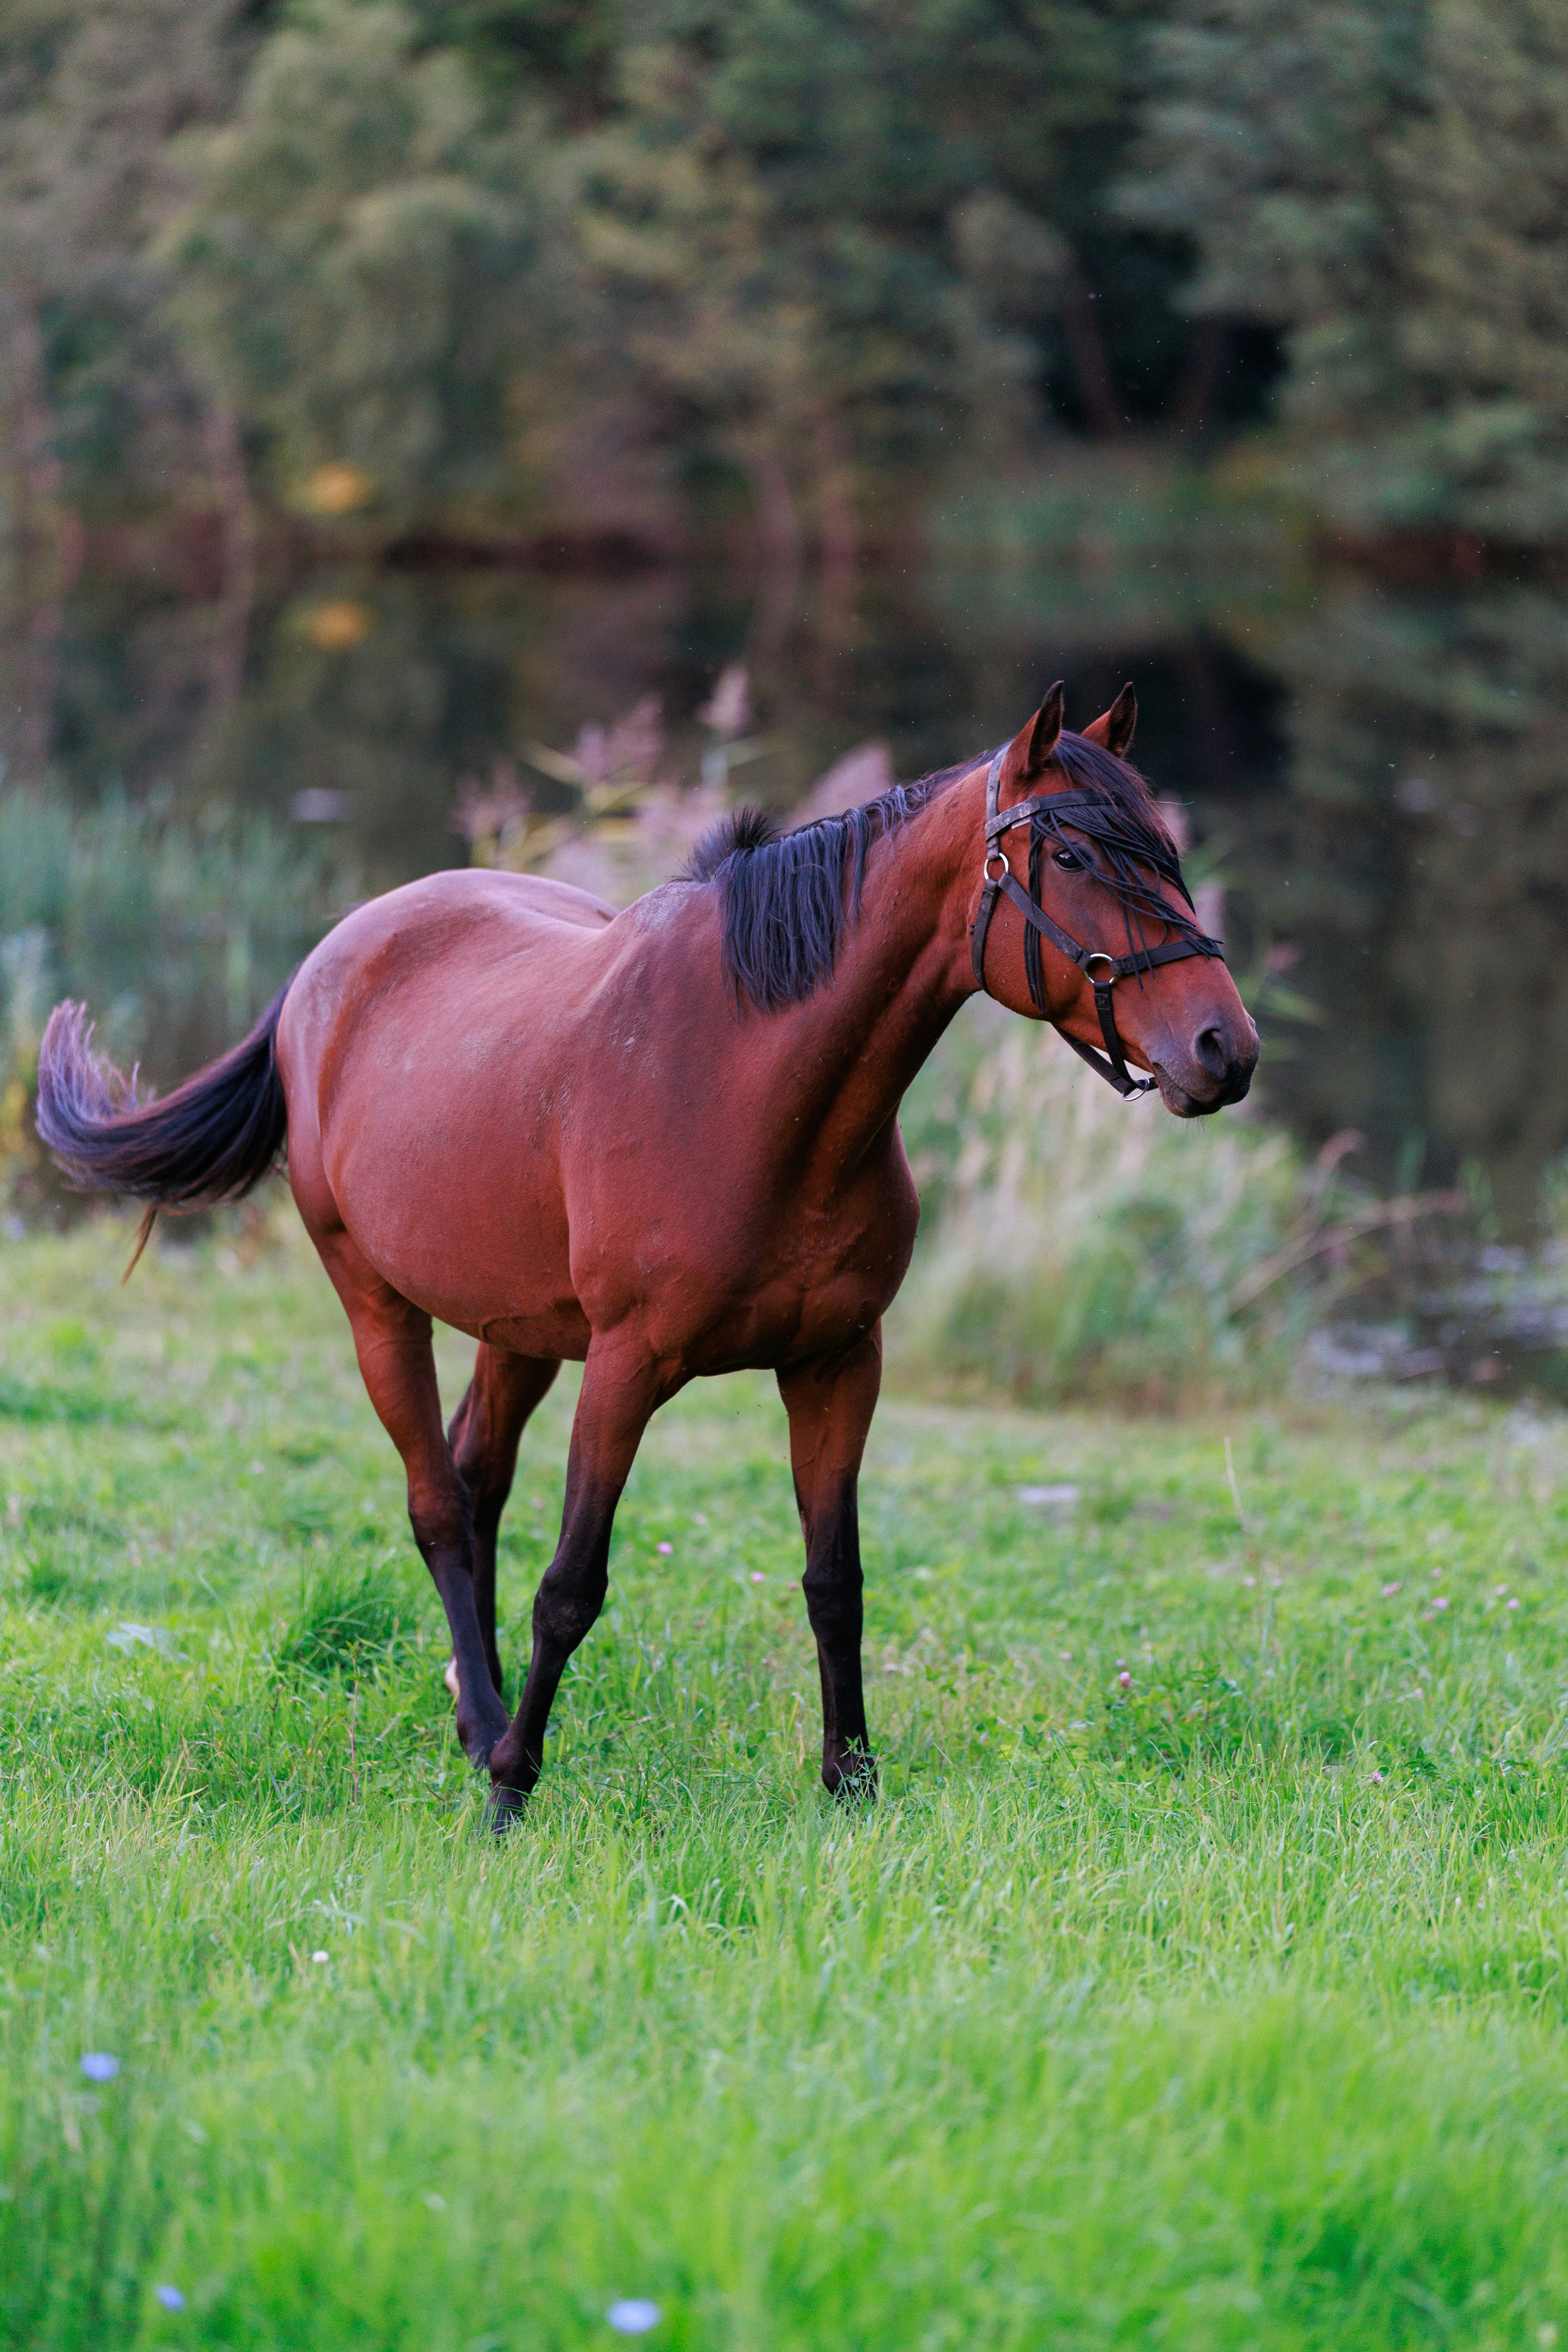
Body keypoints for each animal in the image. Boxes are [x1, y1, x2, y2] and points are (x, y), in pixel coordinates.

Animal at [36, 684, 1256, 1820]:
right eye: (1072, 854)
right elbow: (573, 1585)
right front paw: (513, 1790)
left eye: (1166, 849)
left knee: (476, 1481)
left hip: (518, 1330)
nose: (1224, 1049)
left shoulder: (837, 1364)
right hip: (377, 1303)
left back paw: (476, 1706)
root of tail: (323, 965)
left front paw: (850, 1783)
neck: (750, 1085)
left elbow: (836, 1579)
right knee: (439, 1506)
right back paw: (486, 1729)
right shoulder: (628, 1365)